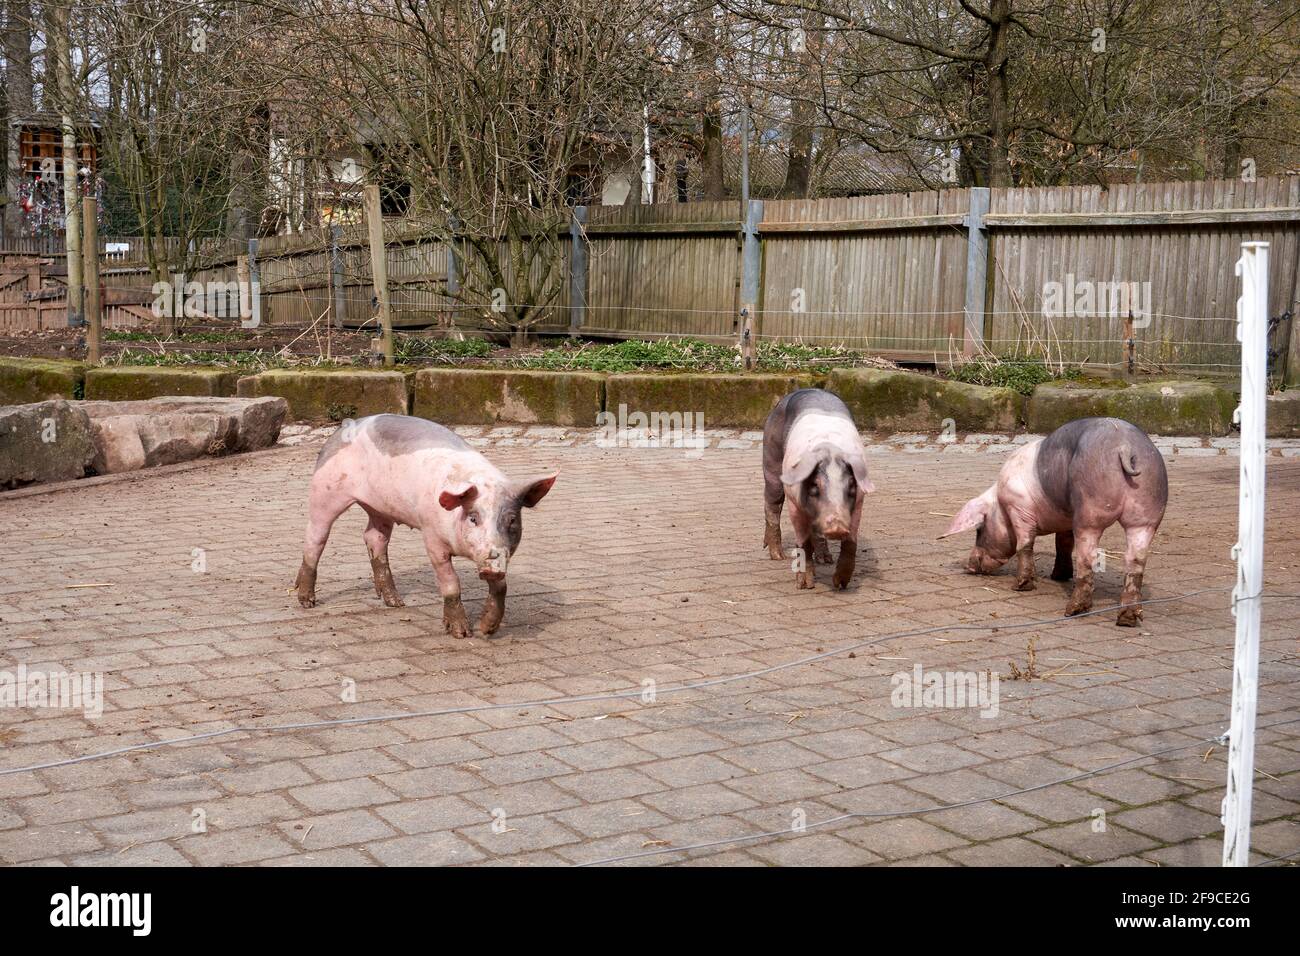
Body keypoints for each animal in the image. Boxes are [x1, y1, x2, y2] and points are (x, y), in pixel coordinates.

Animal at [294, 414, 557, 639]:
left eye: (512, 520)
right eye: (473, 518)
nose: (493, 564)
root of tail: (347, 427)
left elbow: (501, 586)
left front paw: (486, 629)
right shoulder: (431, 536)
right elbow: (451, 582)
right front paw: (461, 633)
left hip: (381, 509)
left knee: (374, 538)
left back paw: (395, 602)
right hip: (325, 491)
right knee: (315, 537)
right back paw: (307, 601)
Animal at [763, 388, 875, 590]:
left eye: (851, 486)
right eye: (815, 486)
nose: (837, 525)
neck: (830, 453)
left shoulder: (859, 502)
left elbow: (851, 542)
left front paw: (841, 584)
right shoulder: (794, 501)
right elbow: (803, 543)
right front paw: (805, 585)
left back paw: (826, 560)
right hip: (771, 458)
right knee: (772, 505)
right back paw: (778, 556)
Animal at [939, 416, 1167, 626]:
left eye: (979, 530)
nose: (969, 567)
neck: (1000, 506)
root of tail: (1125, 447)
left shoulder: (1019, 509)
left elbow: (1025, 544)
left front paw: (1021, 586)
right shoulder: (1065, 518)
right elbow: (1063, 544)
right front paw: (1058, 576)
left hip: (1090, 511)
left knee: (1087, 557)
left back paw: (1073, 610)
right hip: (1147, 512)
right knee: (1136, 560)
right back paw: (1127, 619)